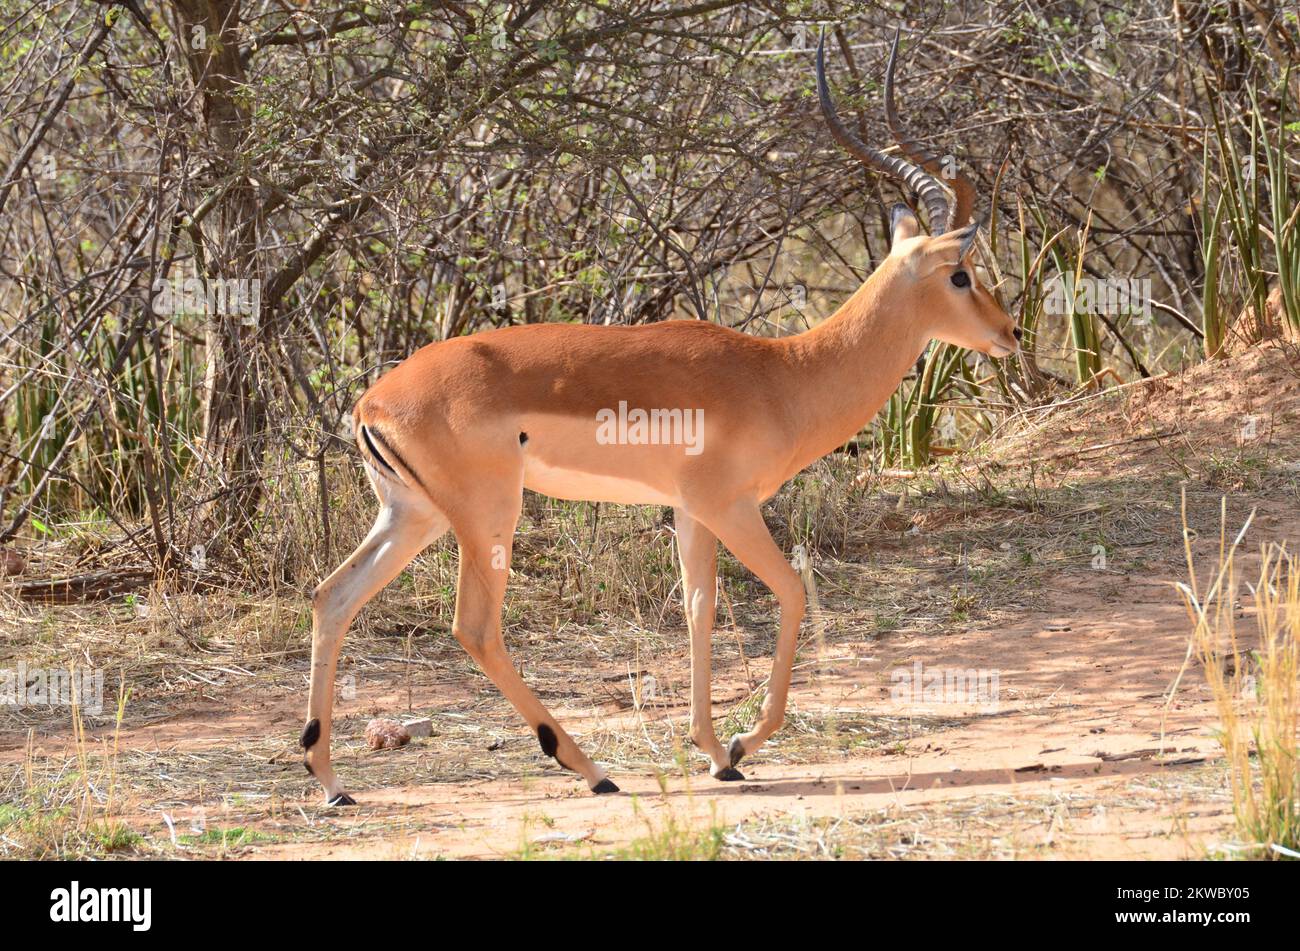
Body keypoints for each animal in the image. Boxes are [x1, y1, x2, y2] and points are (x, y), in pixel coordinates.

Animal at [300, 29, 1019, 804]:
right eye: (960, 274)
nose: (1009, 333)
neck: (781, 374)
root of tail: (372, 403)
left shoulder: (690, 511)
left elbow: (699, 607)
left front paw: (715, 751)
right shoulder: (729, 505)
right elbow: (793, 591)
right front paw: (742, 742)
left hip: (414, 515)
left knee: (332, 597)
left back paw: (331, 780)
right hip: (489, 514)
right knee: (475, 626)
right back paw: (592, 770)